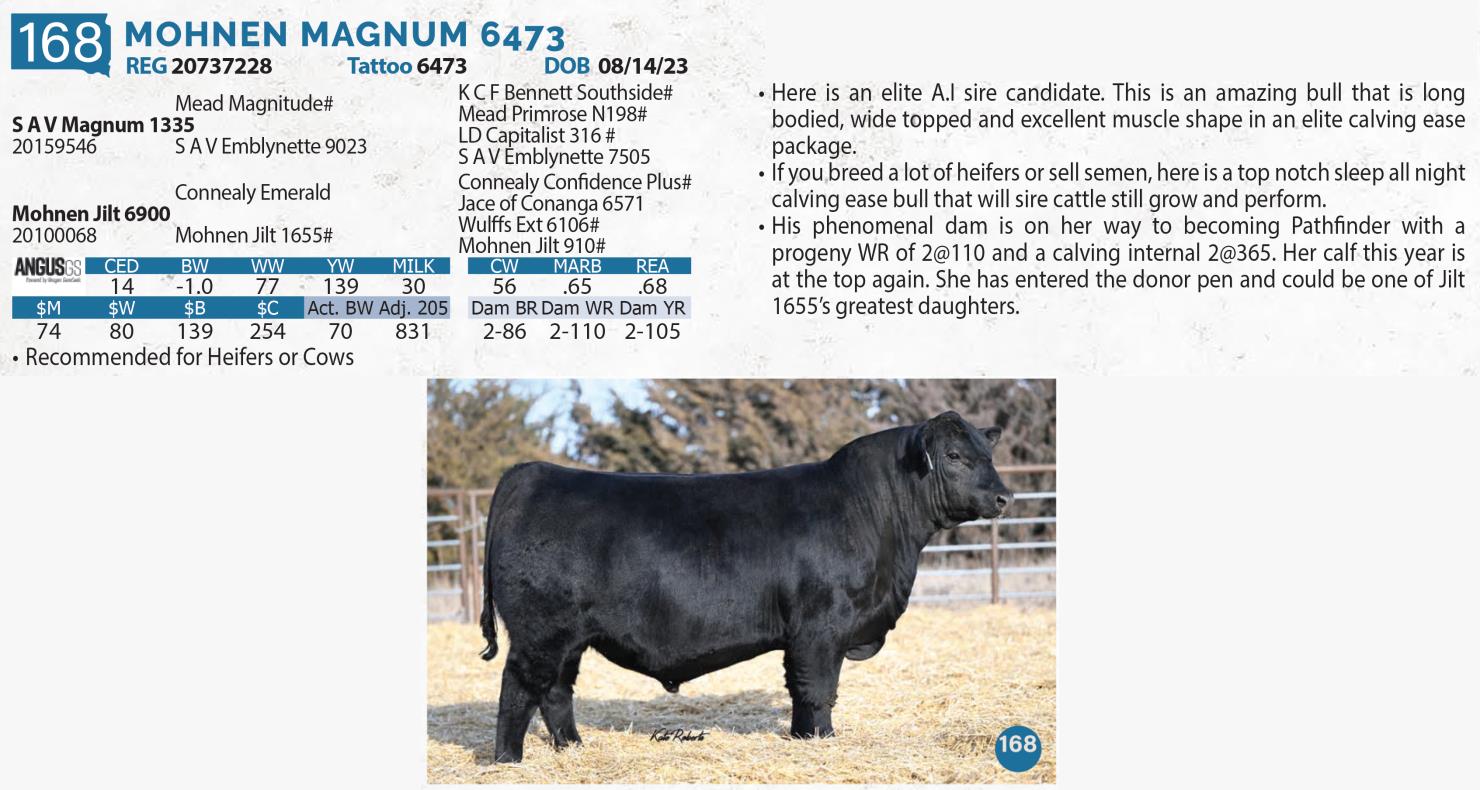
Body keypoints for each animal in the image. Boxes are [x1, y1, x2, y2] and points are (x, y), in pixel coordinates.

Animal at [478, 411, 1013, 763]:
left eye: (988, 453)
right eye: (954, 455)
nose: (1005, 497)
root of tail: (531, 473)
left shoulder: (804, 635)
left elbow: (798, 688)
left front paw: (802, 738)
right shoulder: (823, 626)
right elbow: (818, 688)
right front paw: (823, 740)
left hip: (570, 637)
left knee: (556, 690)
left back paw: (573, 748)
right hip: (540, 631)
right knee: (518, 687)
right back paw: (507, 760)